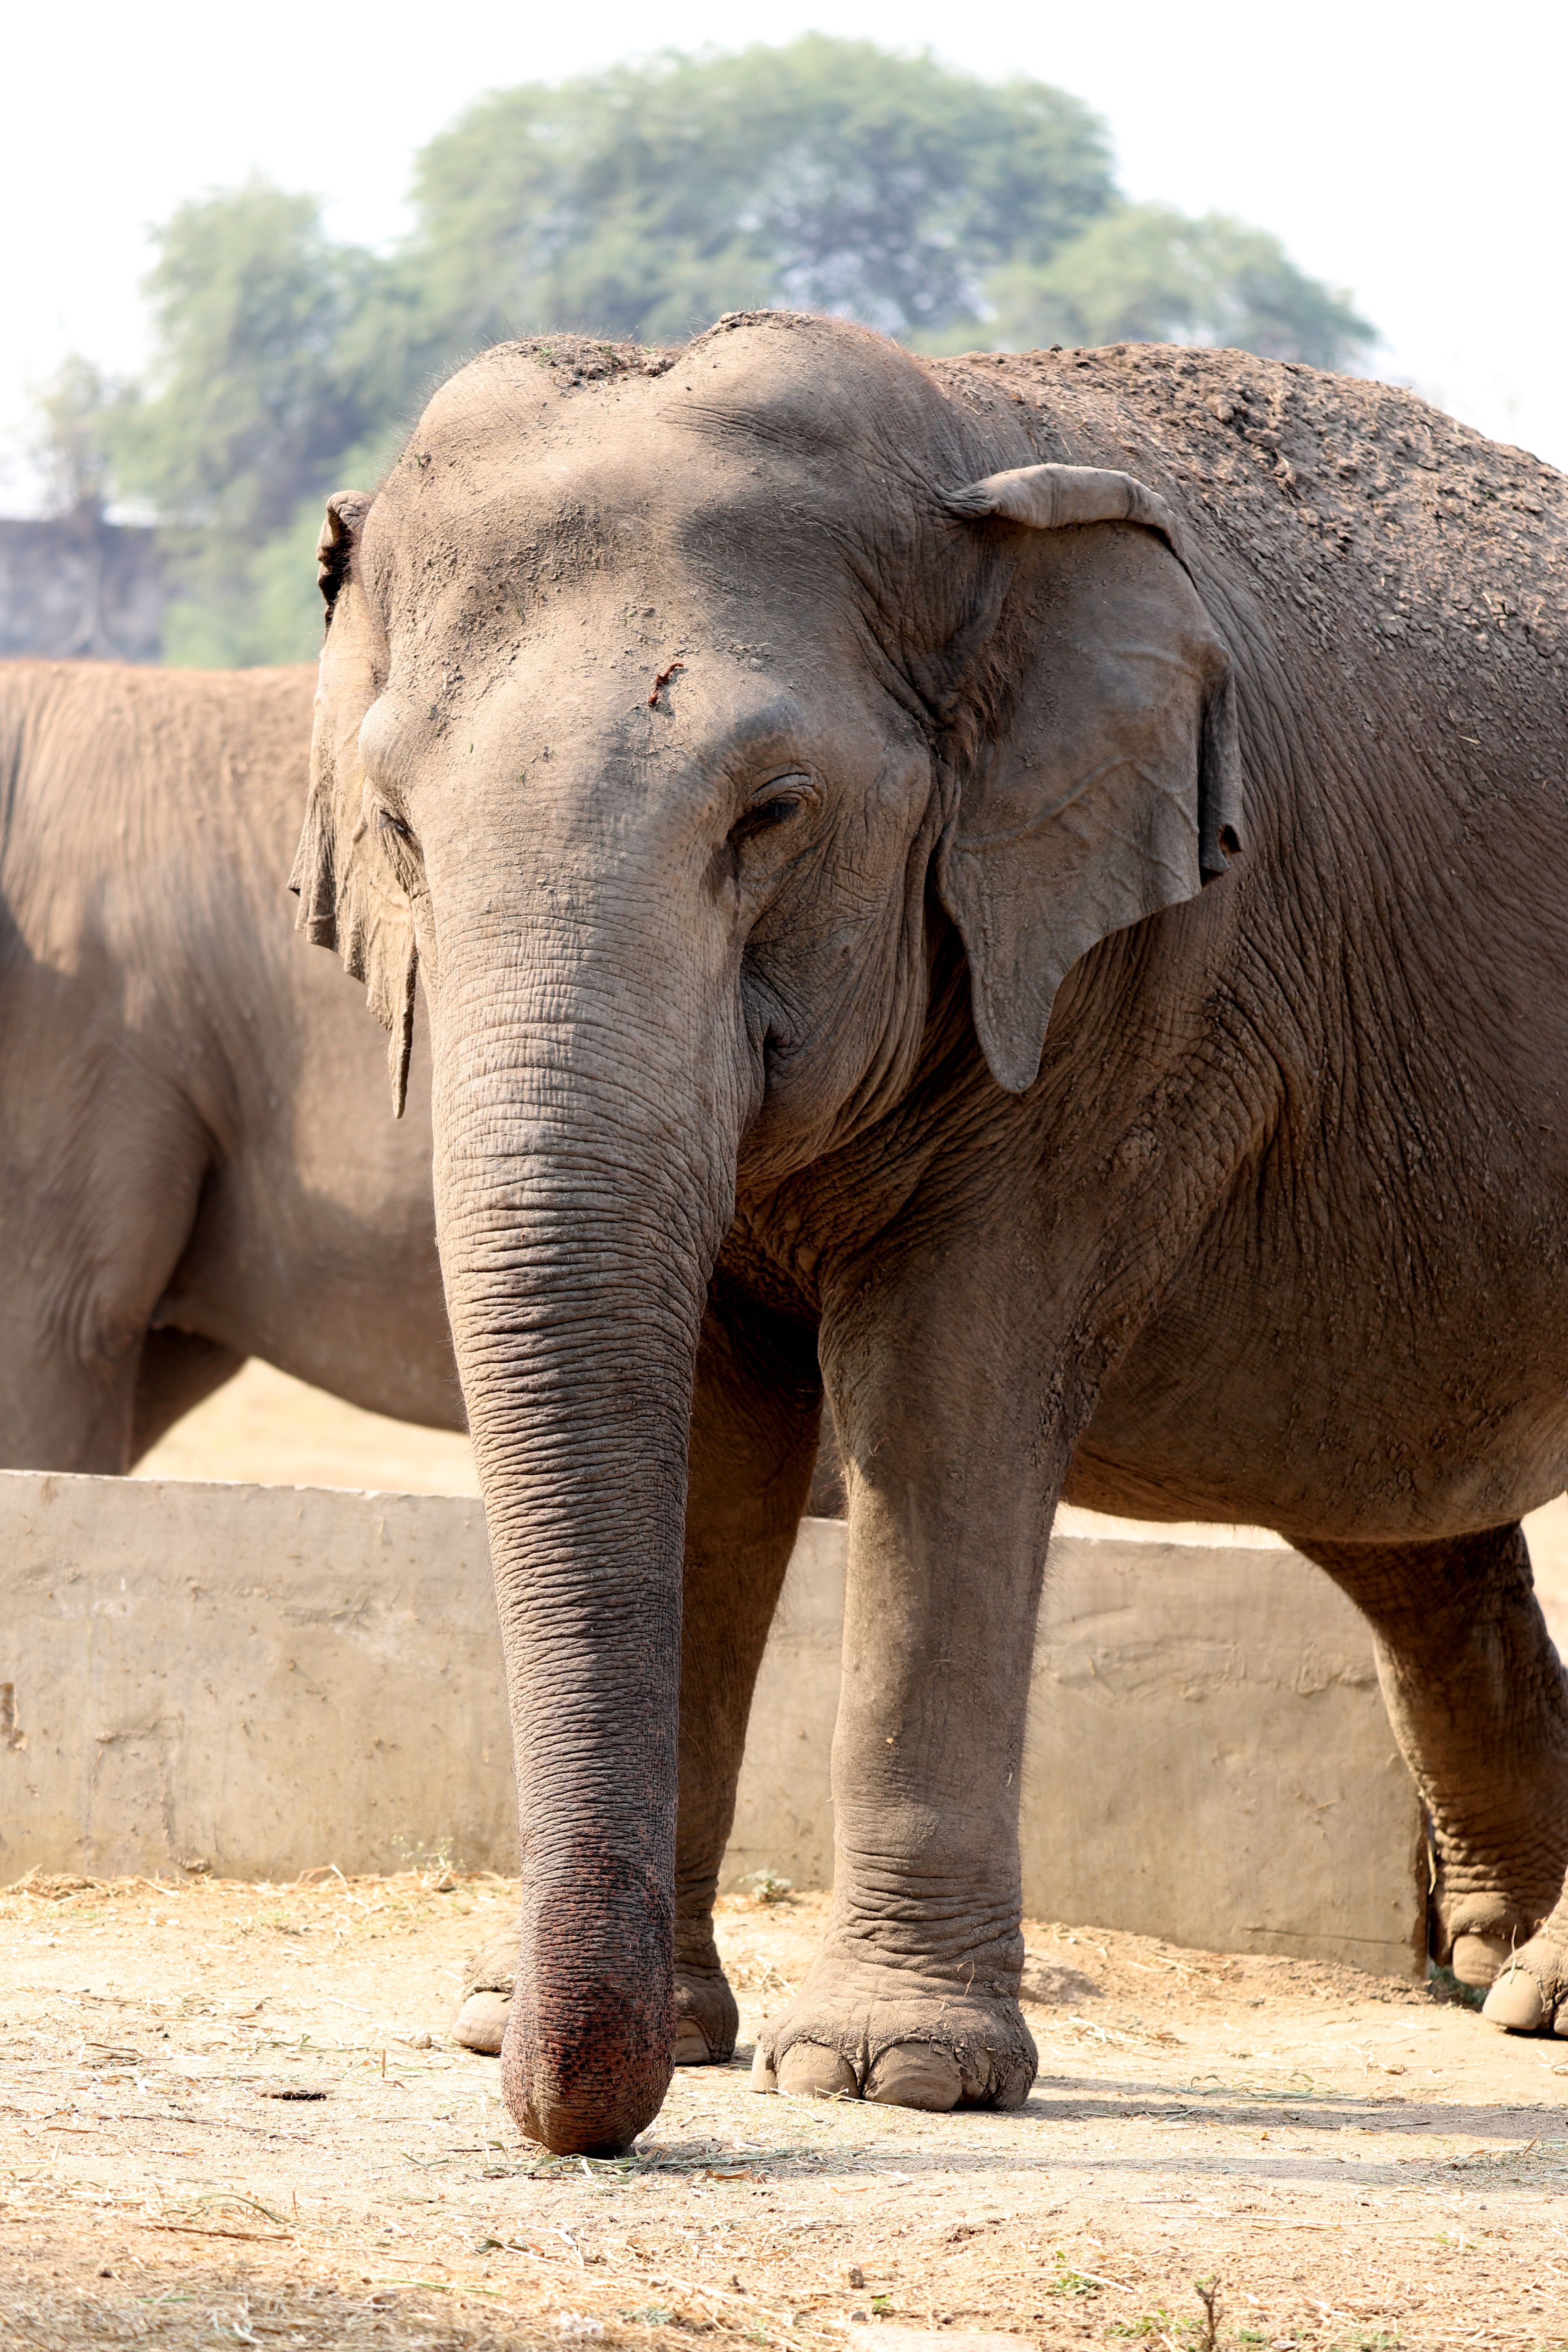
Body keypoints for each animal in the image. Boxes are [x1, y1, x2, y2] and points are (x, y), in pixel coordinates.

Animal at [295, 313, 1568, 2156]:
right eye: (396, 826)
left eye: (773, 812)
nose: (562, 2107)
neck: (966, 460)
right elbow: (711, 1441)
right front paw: (612, 2033)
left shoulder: (1133, 988)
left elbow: (946, 1406)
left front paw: (886, 2073)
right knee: (1412, 1529)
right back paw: (1522, 1987)